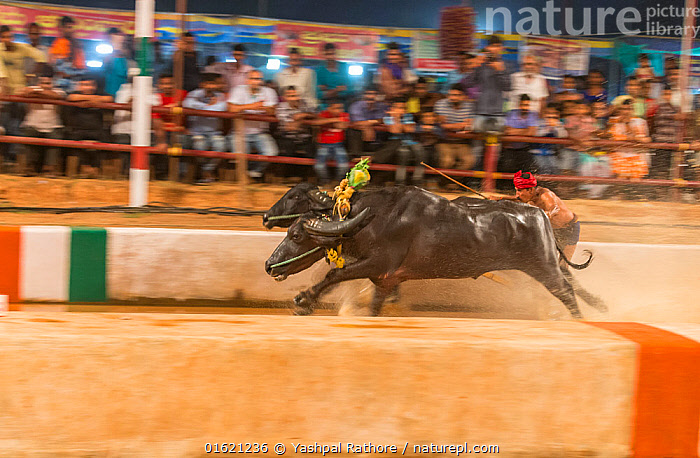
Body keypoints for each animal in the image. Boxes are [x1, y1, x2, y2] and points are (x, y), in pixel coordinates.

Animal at [264, 185, 605, 319]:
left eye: (296, 234)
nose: (269, 265)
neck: (368, 218)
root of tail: (539, 215)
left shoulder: (378, 265)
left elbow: (335, 274)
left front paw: (303, 301)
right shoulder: (385, 280)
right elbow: (372, 304)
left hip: (543, 268)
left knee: (566, 292)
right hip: (549, 265)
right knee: (573, 285)